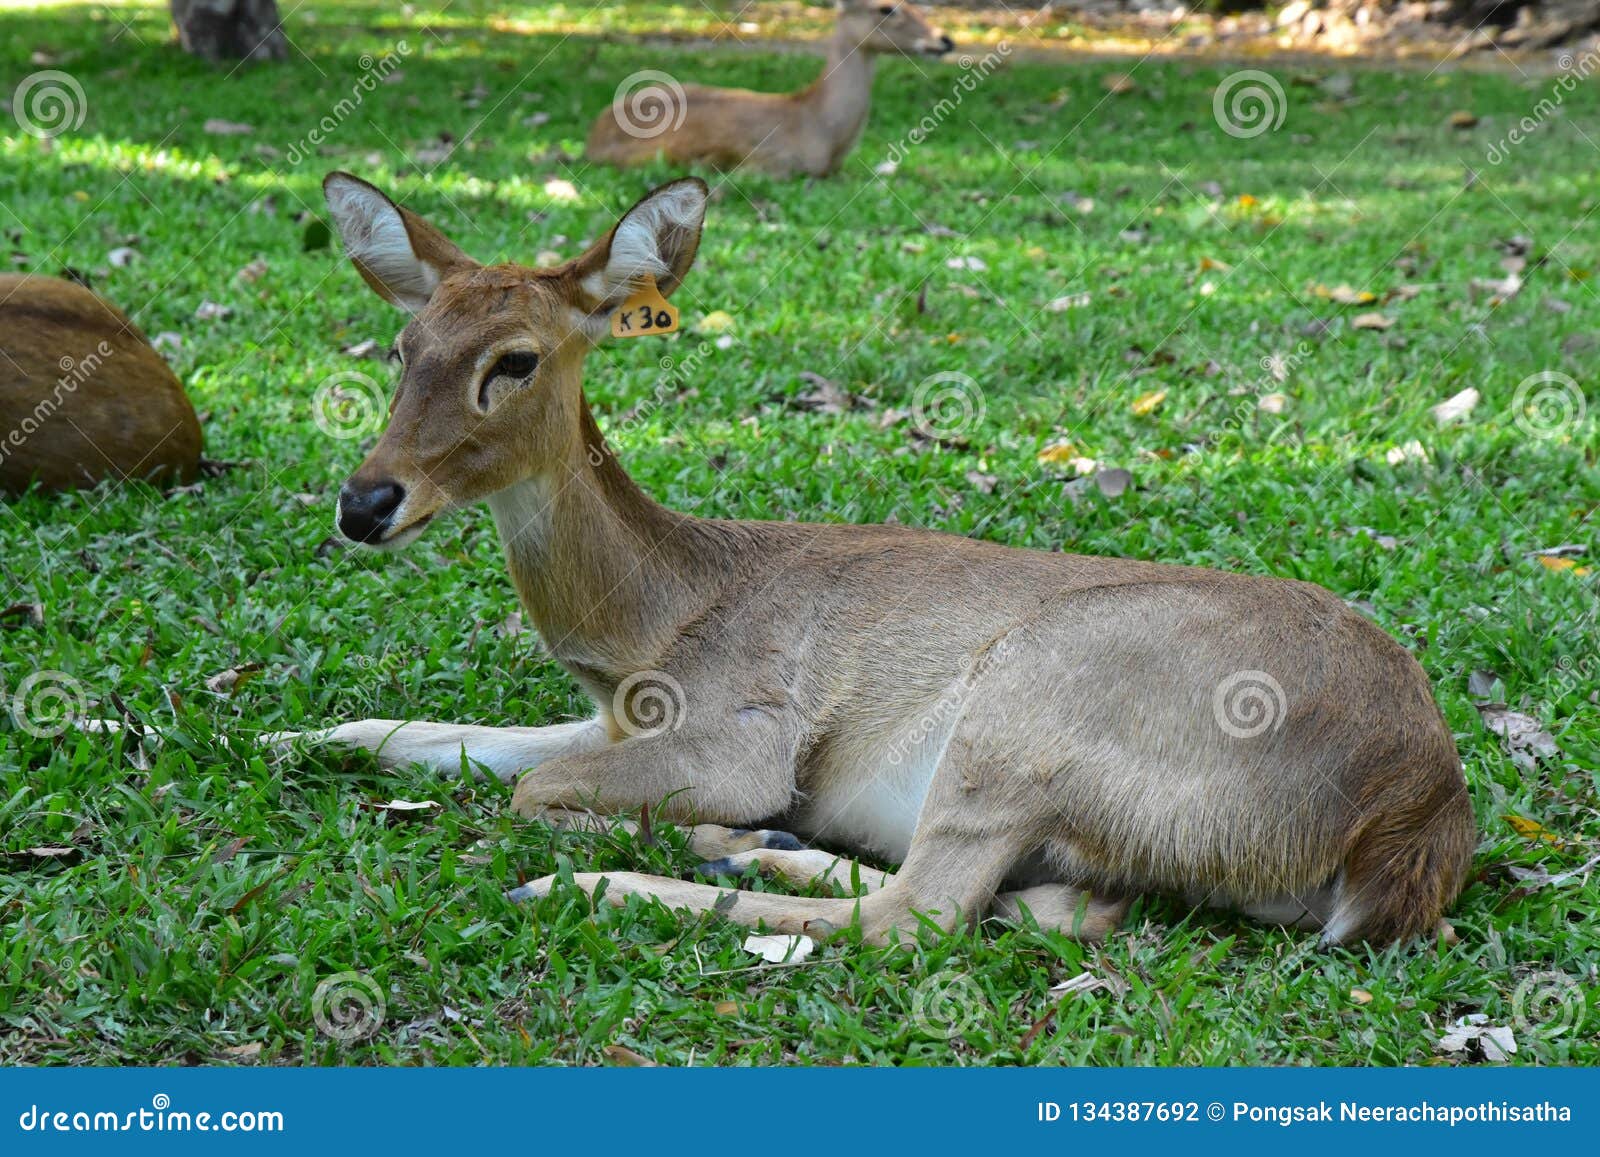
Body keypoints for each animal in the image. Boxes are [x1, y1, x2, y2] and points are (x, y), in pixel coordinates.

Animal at [290, 170, 1477, 950]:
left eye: (517, 359)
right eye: (404, 346)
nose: (365, 501)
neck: (654, 626)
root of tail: (1413, 819)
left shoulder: (743, 731)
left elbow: (532, 786)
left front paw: (659, 835)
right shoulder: (624, 715)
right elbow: (440, 738)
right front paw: (293, 731)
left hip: (1035, 697)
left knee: (924, 913)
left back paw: (606, 881)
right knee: (1057, 906)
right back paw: (754, 848)